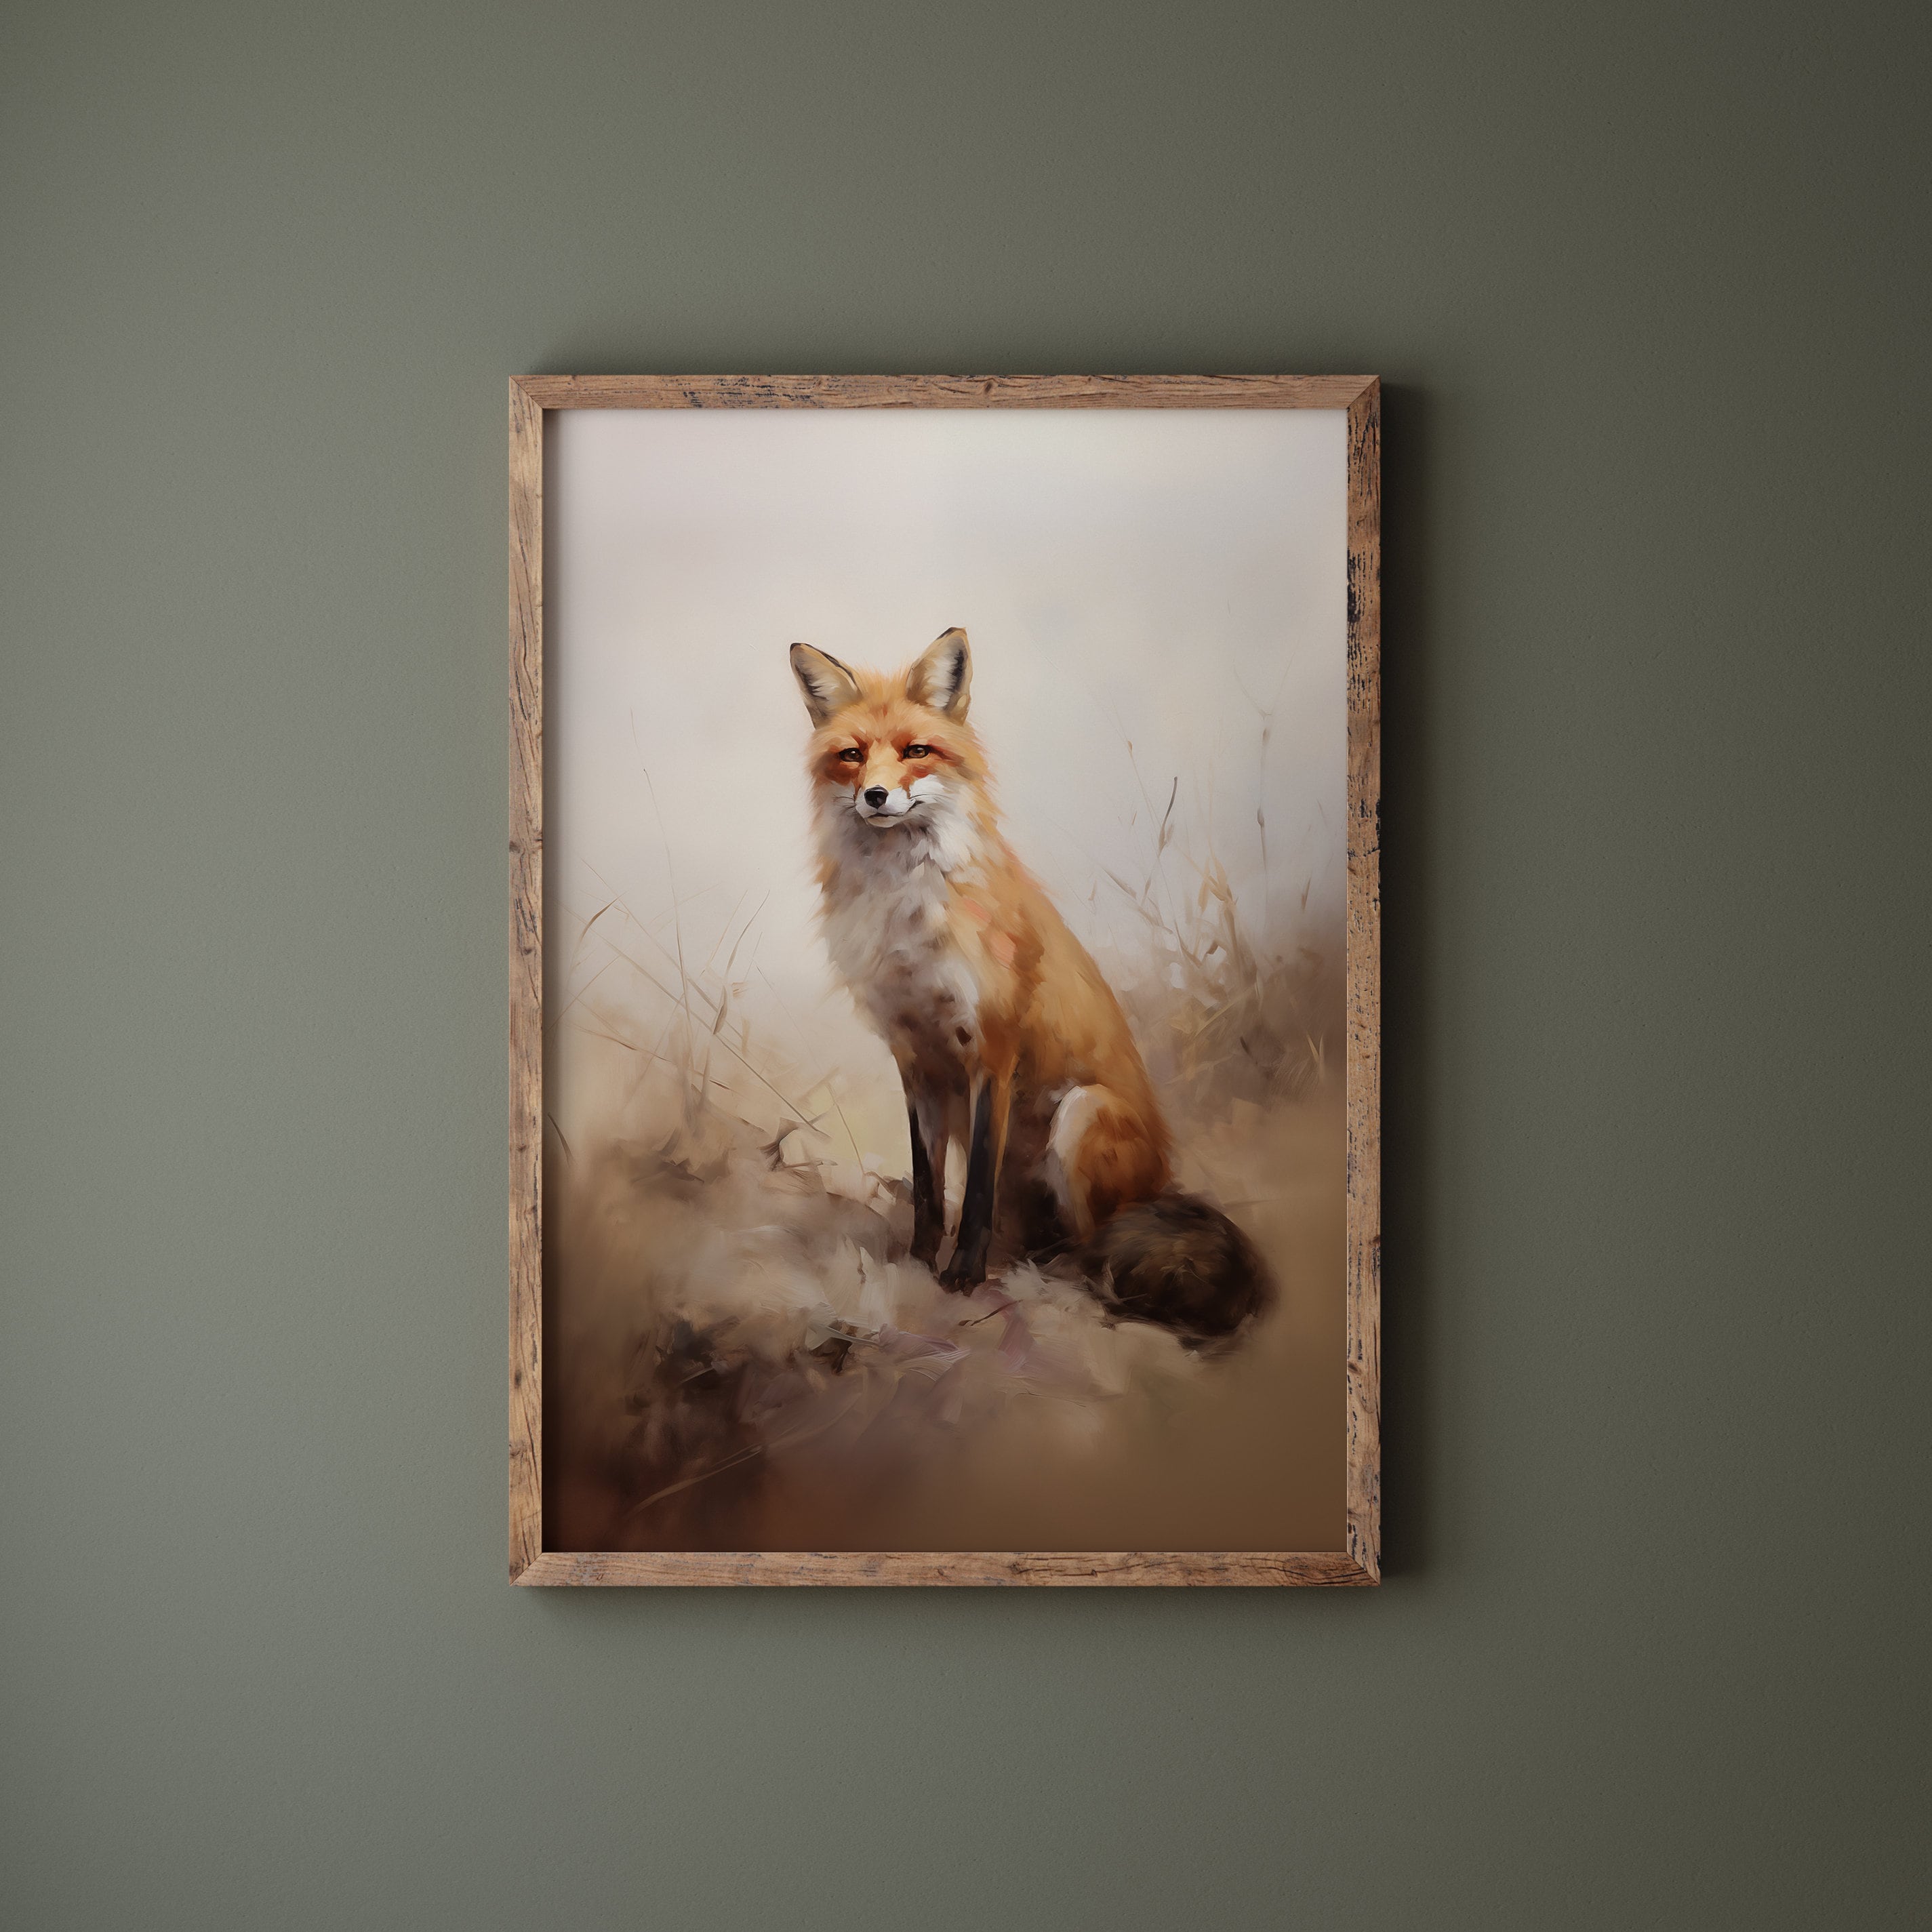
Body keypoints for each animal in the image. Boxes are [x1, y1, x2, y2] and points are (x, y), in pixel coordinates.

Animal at [790, 627, 1269, 1345]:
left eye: (915, 752)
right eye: (852, 756)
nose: (875, 796)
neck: (905, 910)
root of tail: (1160, 1187)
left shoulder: (992, 1048)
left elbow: (976, 1190)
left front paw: (962, 1274)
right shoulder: (916, 1057)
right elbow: (928, 1186)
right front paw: (917, 1260)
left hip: (1081, 1116)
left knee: (1093, 1246)